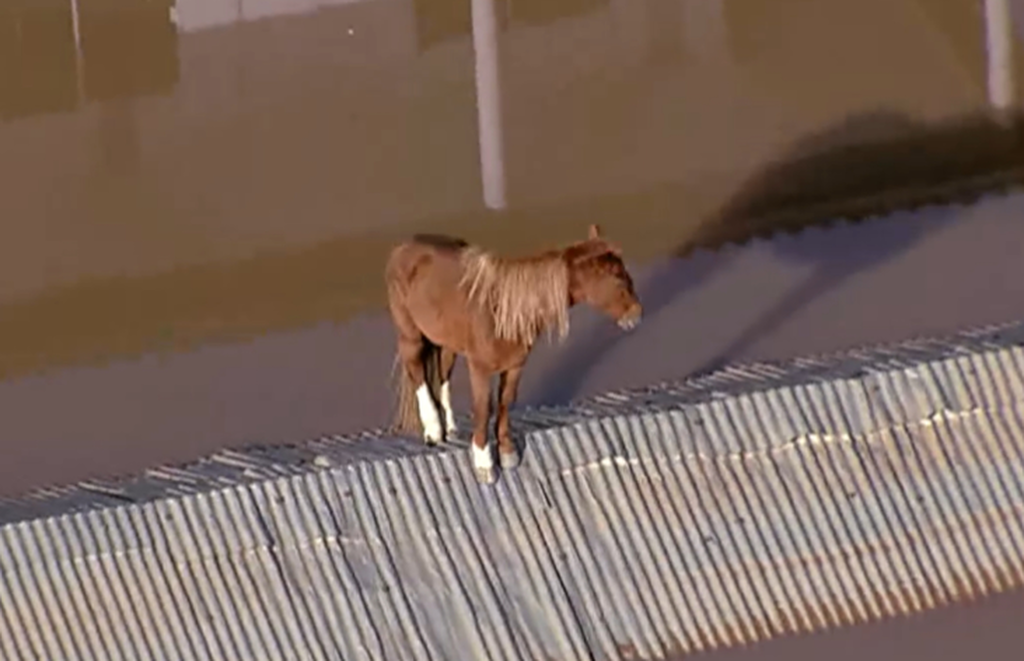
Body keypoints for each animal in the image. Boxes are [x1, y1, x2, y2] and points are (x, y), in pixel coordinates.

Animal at [384, 224, 643, 484]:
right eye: (617, 278)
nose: (636, 314)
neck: (502, 311)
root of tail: (404, 246)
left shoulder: (515, 365)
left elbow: (505, 402)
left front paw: (507, 453)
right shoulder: (480, 368)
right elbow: (483, 408)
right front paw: (484, 463)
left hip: (447, 342)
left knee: (443, 374)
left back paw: (449, 427)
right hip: (411, 335)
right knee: (417, 372)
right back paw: (433, 430)